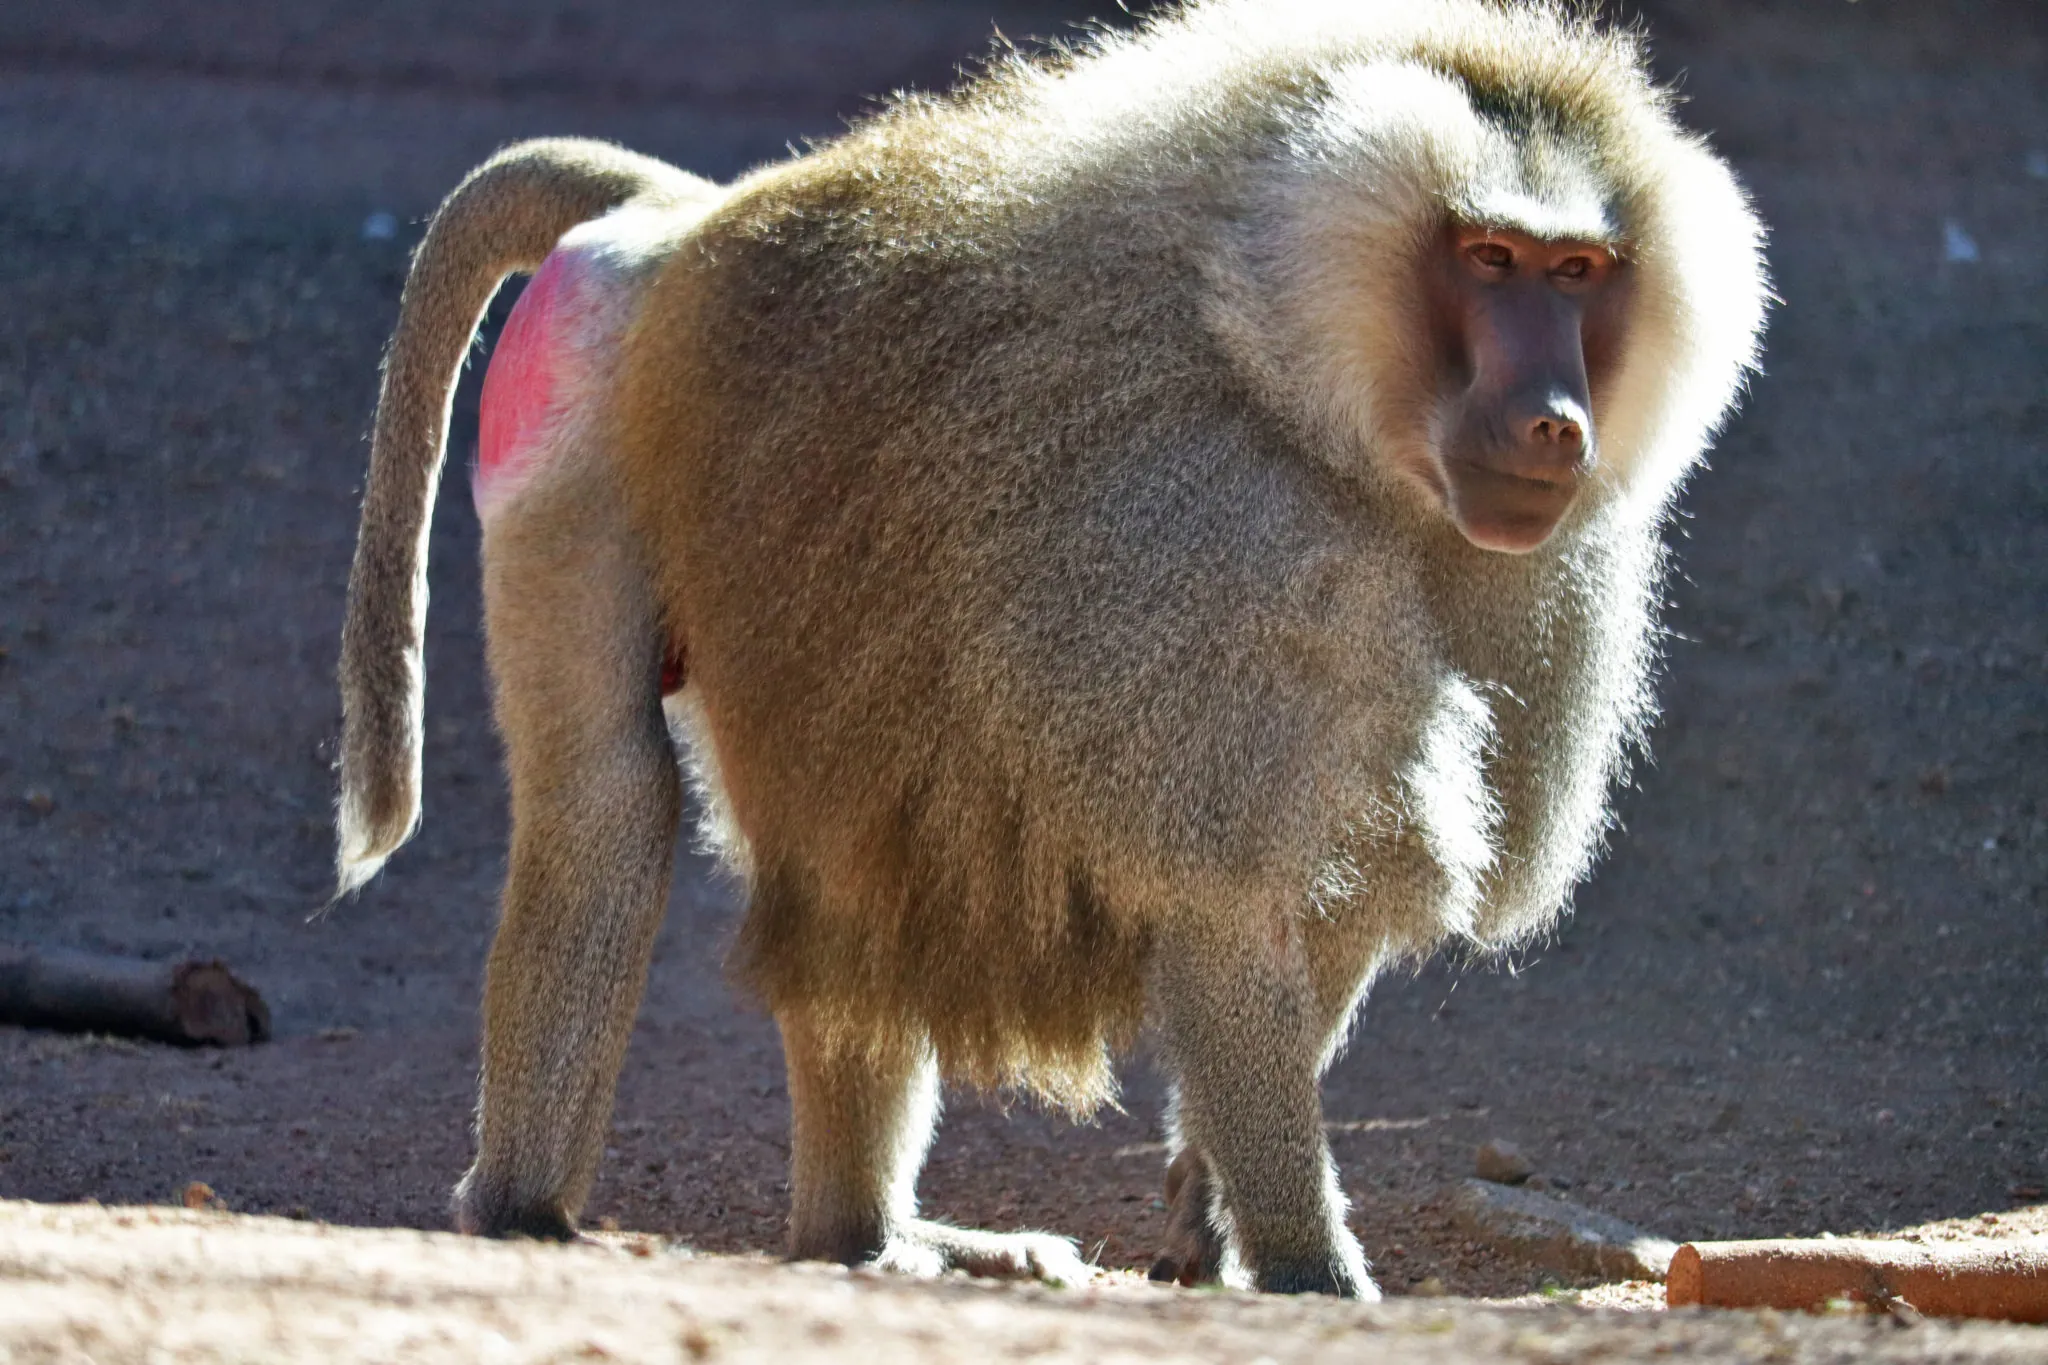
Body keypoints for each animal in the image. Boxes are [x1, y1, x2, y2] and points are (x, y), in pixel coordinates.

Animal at [335, 0, 1768, 1297]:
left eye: (1577, 274)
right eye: (1487, 258)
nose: (1553, 425)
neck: (1297, 371)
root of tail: (682, 222)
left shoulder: (1524, 565)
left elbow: (1330, 905)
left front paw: (1209, 1205)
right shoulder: (1204, 528)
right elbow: (1228, 897)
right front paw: (1307, 1267)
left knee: (859, 848)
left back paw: (866, 1241)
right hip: (573, 399)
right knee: (608, 801)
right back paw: (524, 1214)